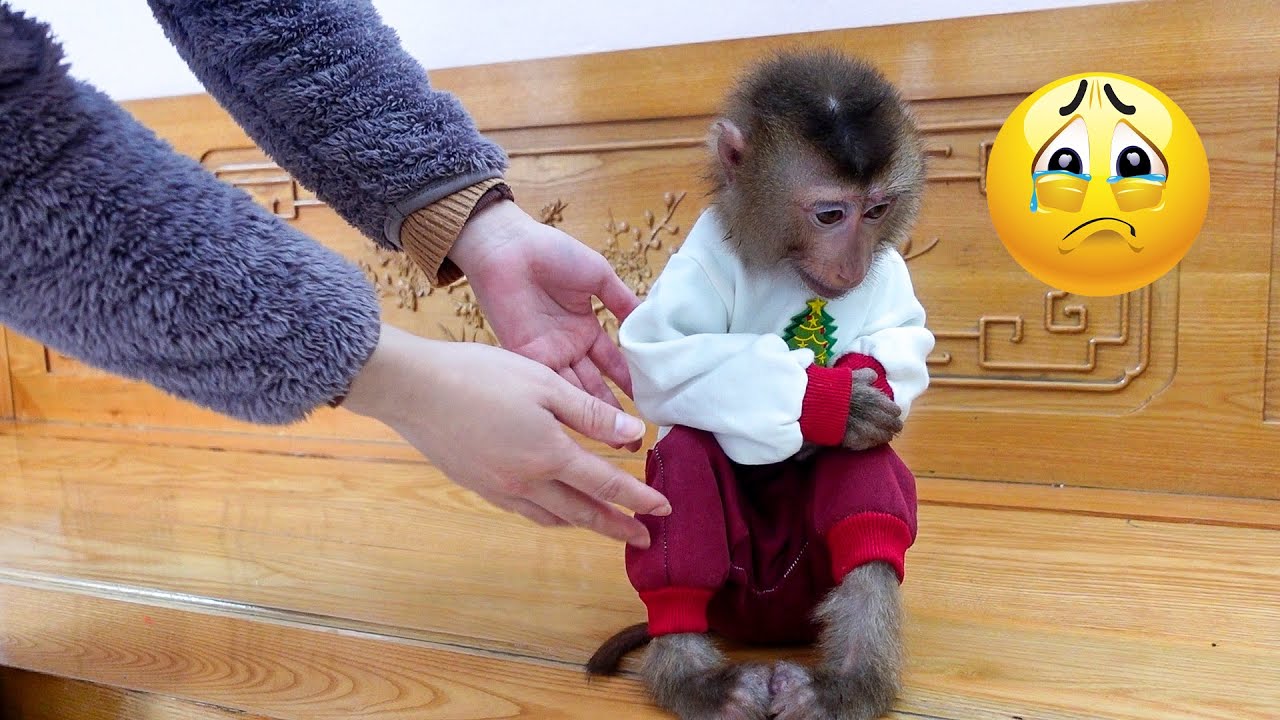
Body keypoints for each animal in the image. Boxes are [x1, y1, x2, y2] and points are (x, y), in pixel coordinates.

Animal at [587, 48, 934, 720]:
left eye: (876, 211)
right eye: (830, 214)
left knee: (867, 482)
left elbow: (906, 341)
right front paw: (830, 406)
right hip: (735, 596)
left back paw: (850, 682)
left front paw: (861, 387)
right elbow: (665, 354)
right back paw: (692, 674)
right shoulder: (697, 263)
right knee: (687, 449)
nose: (854, 264)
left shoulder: (892, 273)